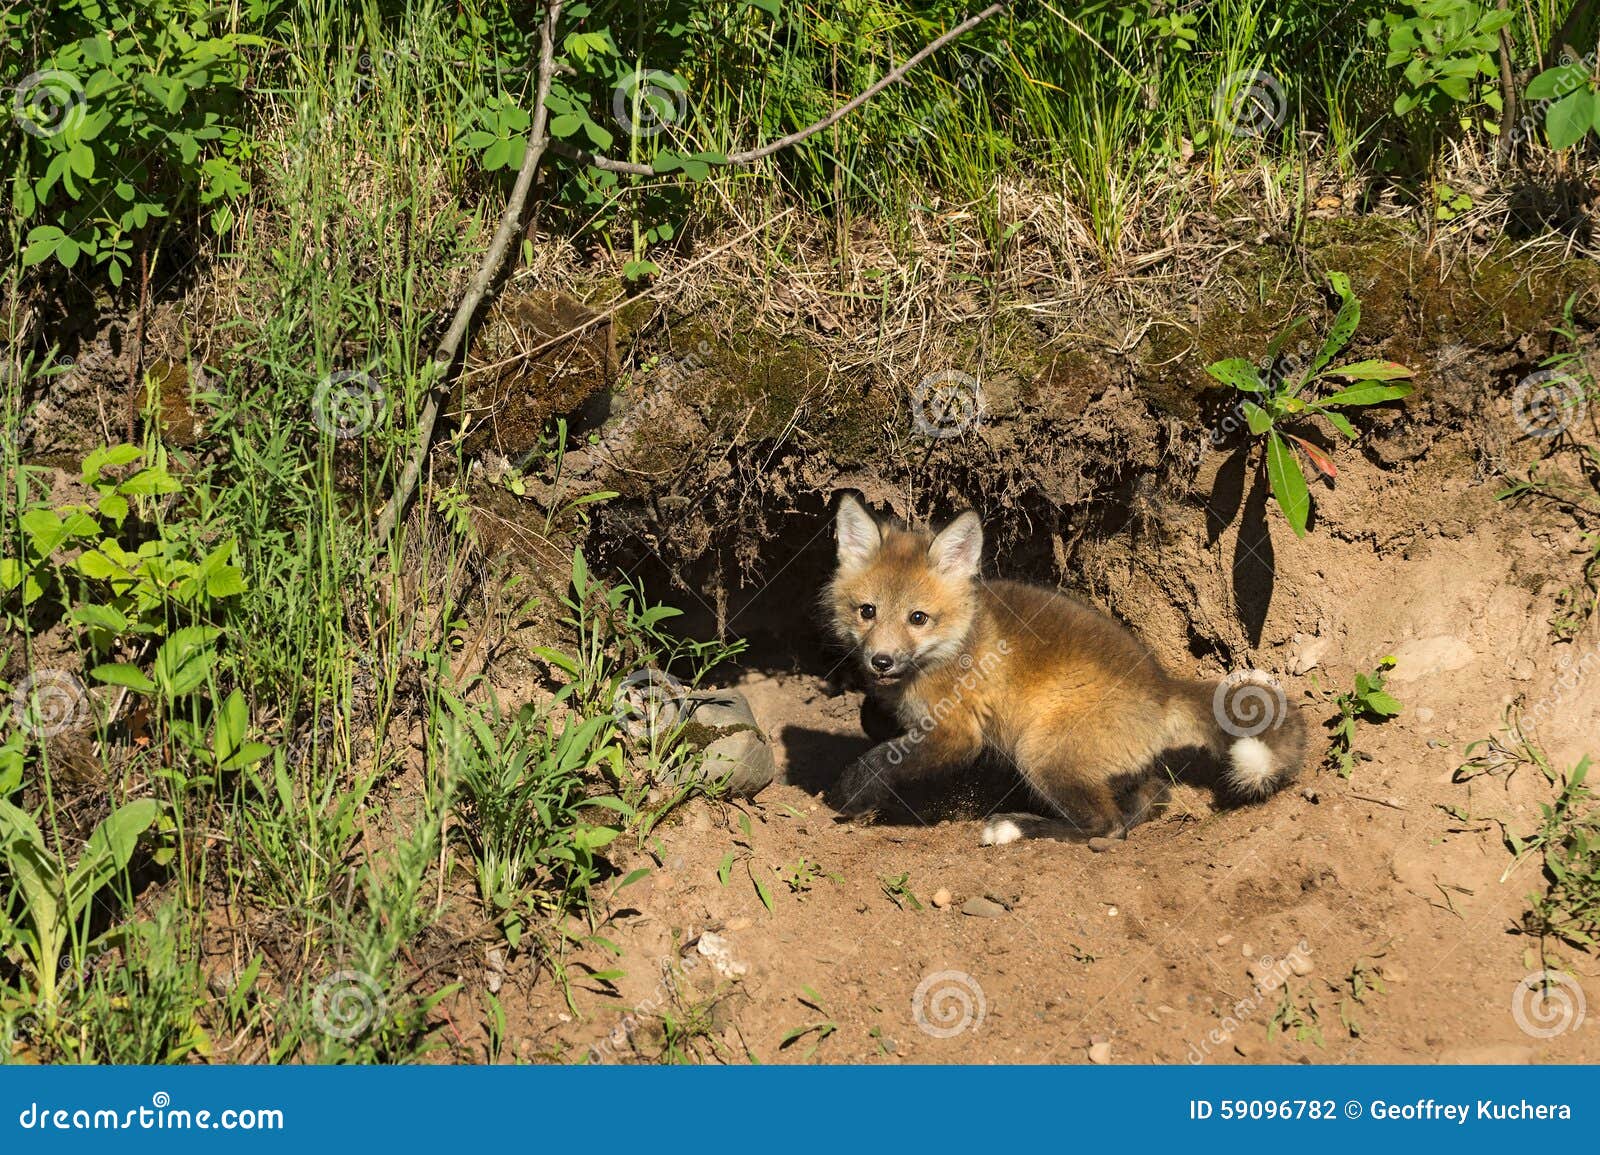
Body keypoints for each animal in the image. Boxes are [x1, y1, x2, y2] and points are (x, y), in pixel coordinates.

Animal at [822, 494, 1307, 843]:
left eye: (918, 618)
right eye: (867, 611)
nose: (880, 660)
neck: (953, 645)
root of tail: (1164, 686)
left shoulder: (957, 735)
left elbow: (882, 761)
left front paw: (851, 794)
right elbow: (876, 728)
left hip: (1041, 754)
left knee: (1105, 825)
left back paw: (1015, 827)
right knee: (1147, 800)